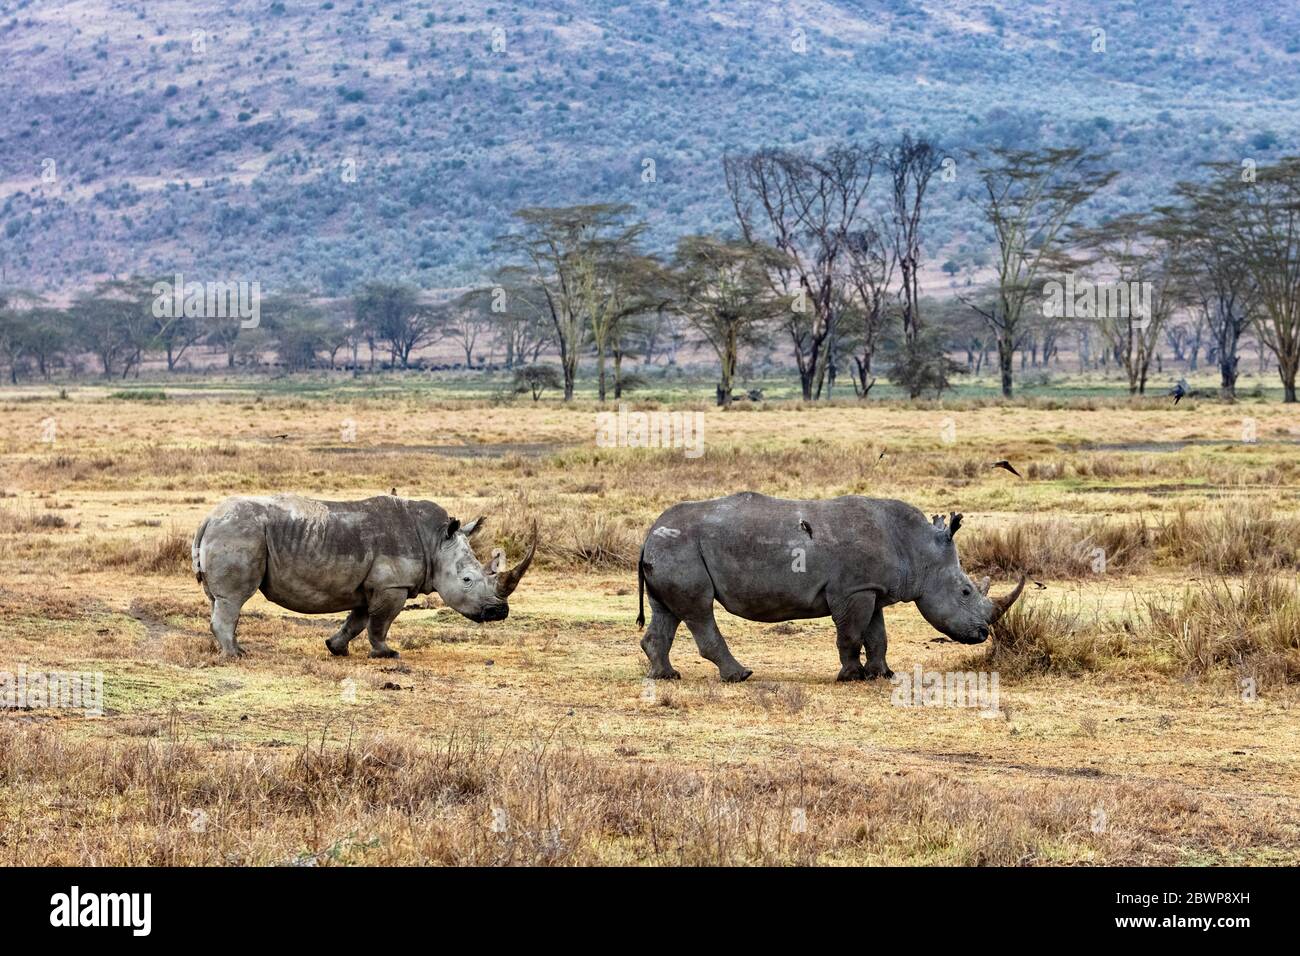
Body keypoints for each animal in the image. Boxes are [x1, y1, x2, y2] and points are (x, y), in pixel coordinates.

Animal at [192, 494, 535, 658]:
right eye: (467, 580)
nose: (499, 612)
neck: (435, 541)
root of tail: (207, 518)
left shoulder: (370, 585)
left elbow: (357, 620)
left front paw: (335, 648)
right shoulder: (392, 585)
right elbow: (380, 623)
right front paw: (387, 654)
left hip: (233, 530)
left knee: (218, 599)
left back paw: (230, 650)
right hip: (239, 531)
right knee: (233, 599)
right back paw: (237, 655)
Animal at [636, 493, 1025, 682]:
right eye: (965, 592)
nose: (982, 633)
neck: (917, 548)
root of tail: (648, 533)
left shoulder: (871, 589)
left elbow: (878, 635)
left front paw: (882, 675)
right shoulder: (852, 591)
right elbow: (850, 635)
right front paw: (850, 677)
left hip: (670, 548)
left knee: (668, 611)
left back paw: (666, 676)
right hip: (680, 547)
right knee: (699, 610)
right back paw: (740, 676)